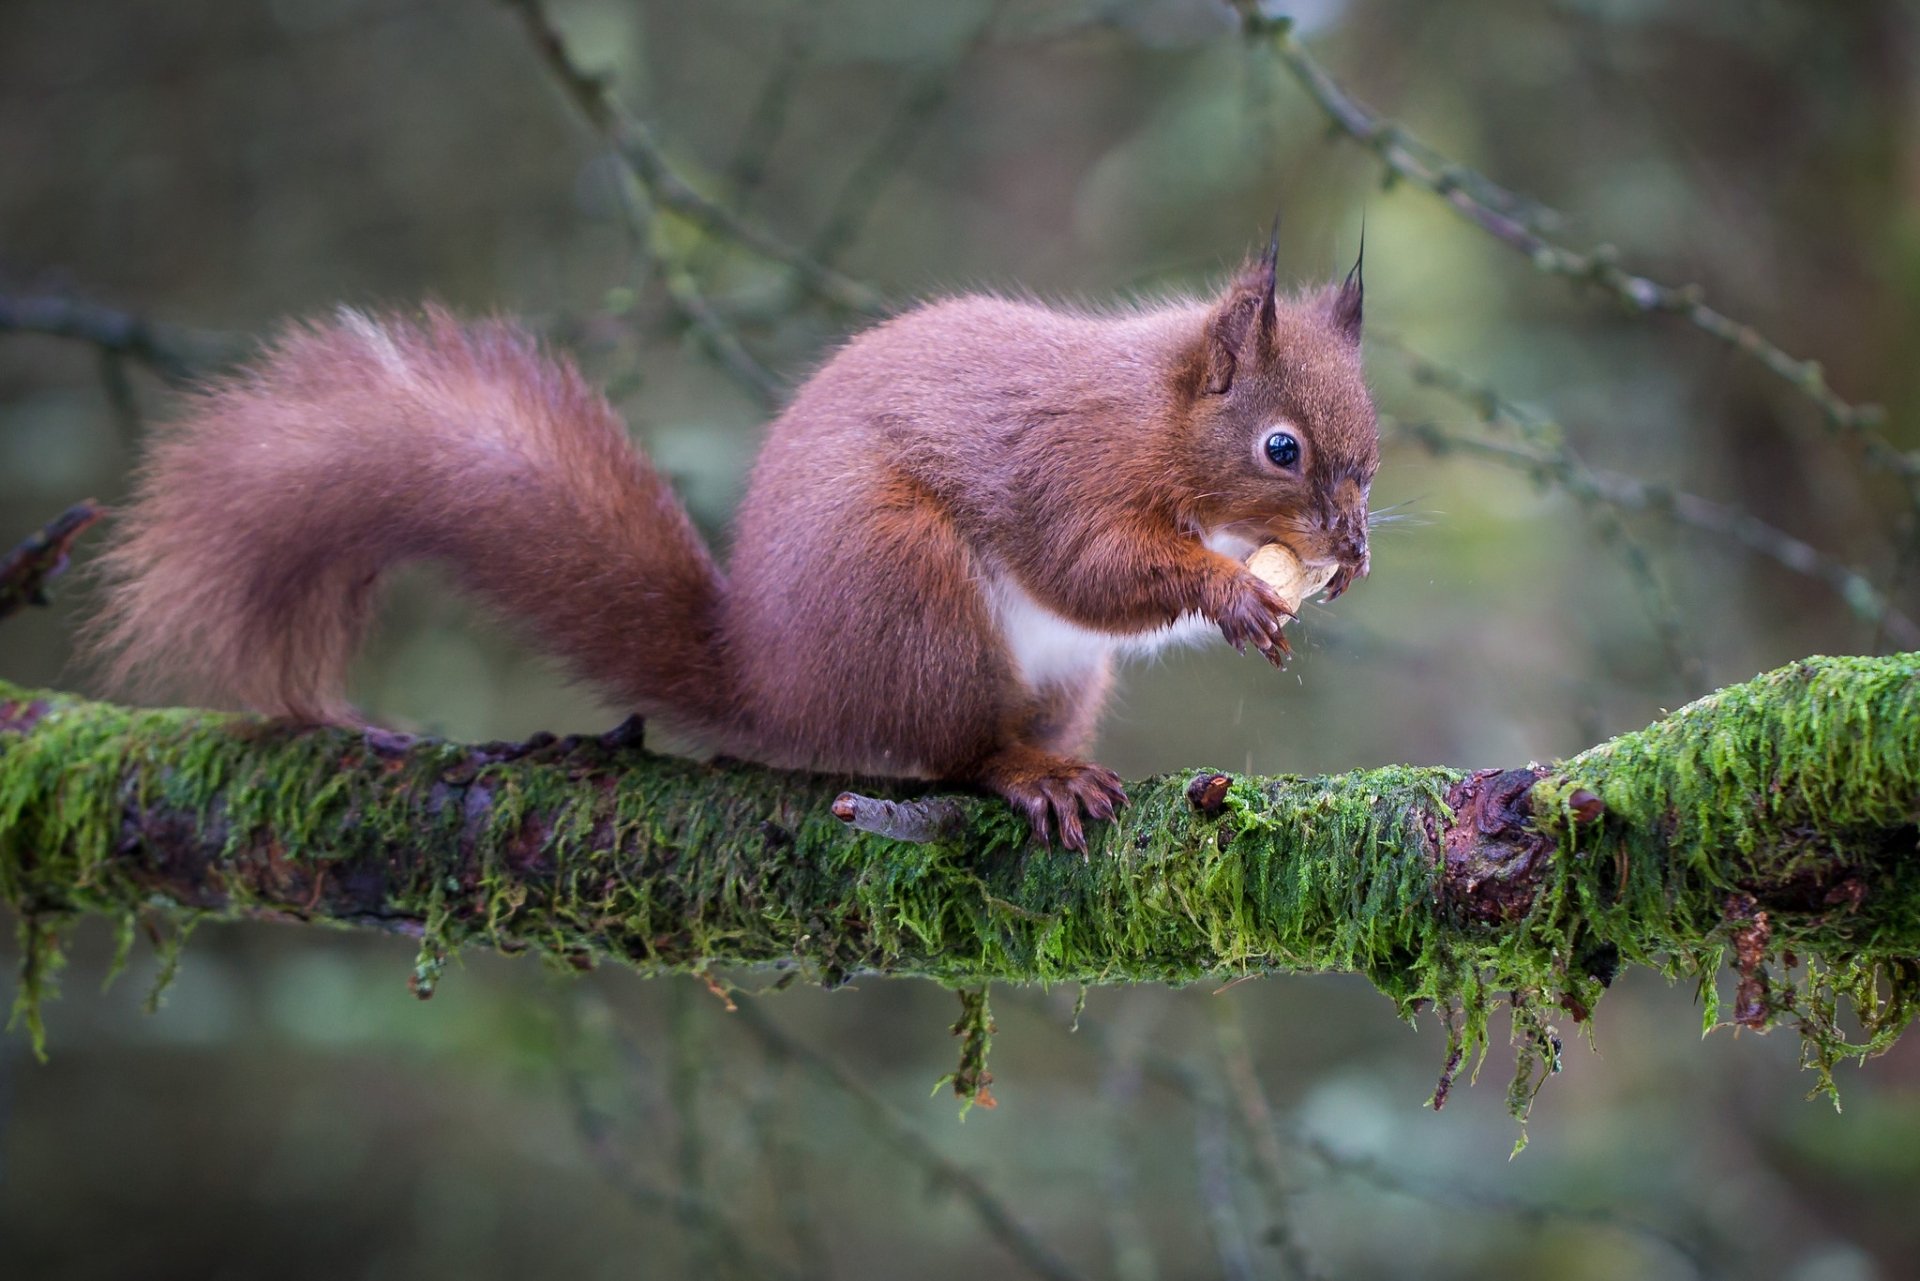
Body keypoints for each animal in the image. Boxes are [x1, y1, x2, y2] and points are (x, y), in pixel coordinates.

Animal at [88, 239, 1376, 852]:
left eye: (1369, 446)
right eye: (1280, 450)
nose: (1351, 536)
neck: (1155, 415)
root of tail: (772, 679)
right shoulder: (1067, 469)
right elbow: (1091, 567)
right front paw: (1233, 592)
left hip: (1057, 678)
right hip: (904, 592)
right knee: (950, 751)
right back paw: (1027, 776)